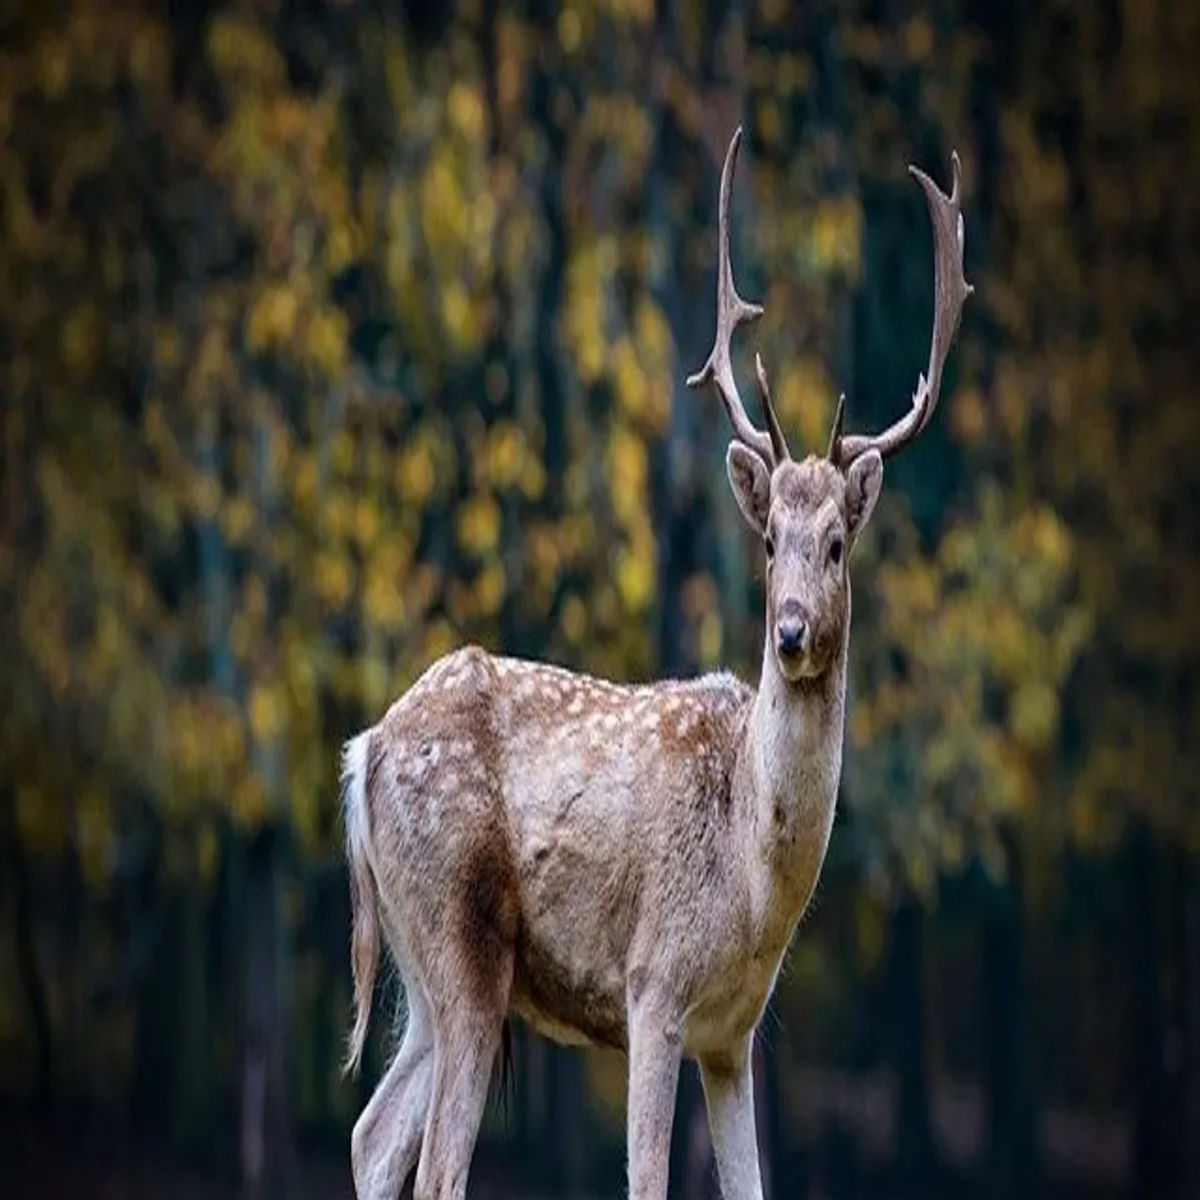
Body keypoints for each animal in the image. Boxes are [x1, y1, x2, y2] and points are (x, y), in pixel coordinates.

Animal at [341, 127, 971, 1200]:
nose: (791, 632)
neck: (749, 885)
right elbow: (645, 1179)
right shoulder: (652, 984)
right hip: (463, 943)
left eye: (837, 542)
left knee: (369, 1137)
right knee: (434, 1167)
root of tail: (365, 752)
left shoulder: (734, 1035)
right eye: (770, 542)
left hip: (419, 973)